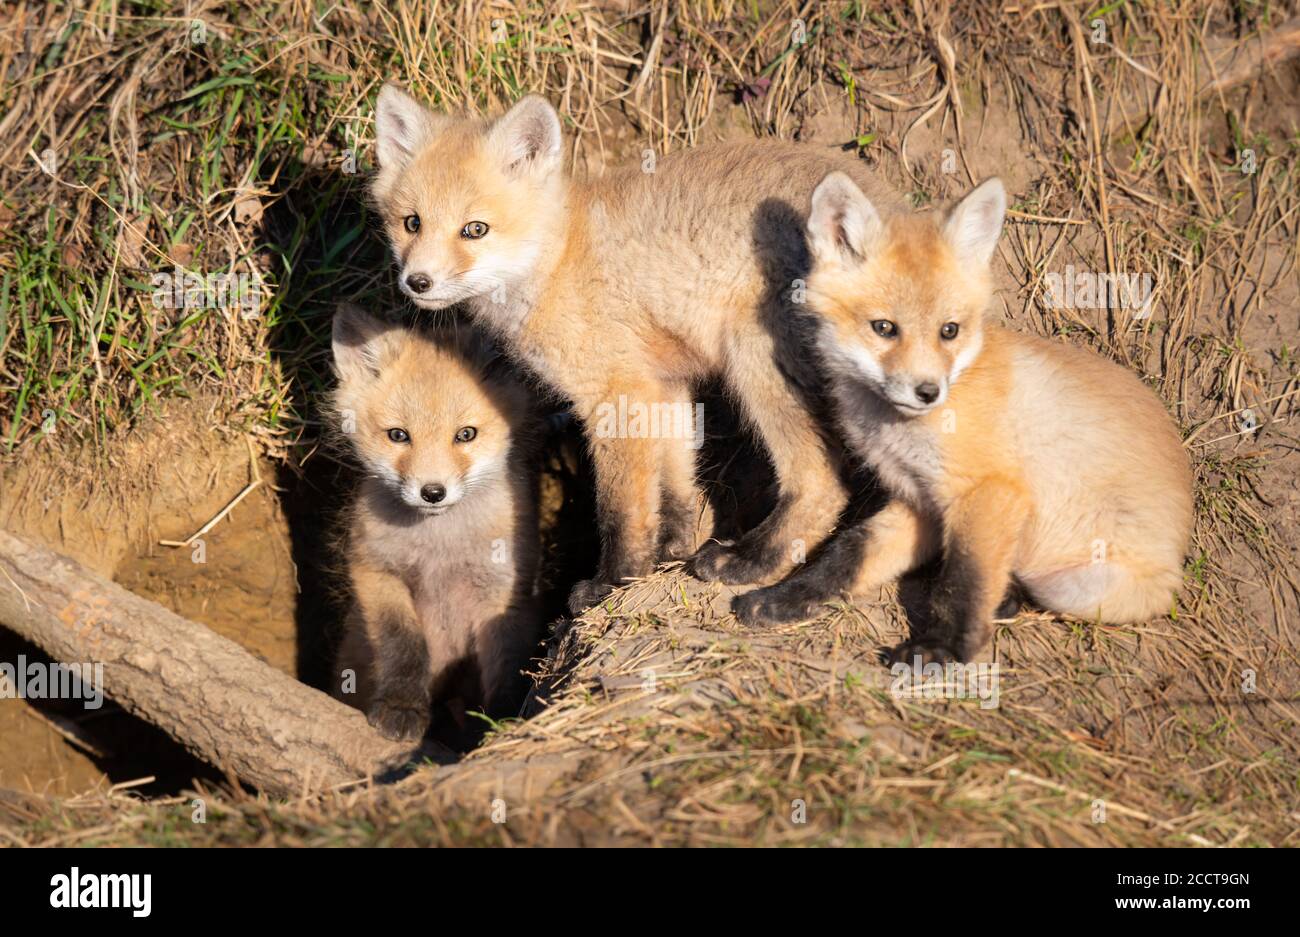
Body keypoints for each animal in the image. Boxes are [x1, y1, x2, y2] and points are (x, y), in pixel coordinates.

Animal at [329, 303, 542, 740]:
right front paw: (401, 705)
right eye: (398, 435)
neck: (440, 550)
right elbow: (403, 644)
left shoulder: (503, 593)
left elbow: (506, 662)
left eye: (466, 434)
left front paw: (499, 720)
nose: (432, 492)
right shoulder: (376, 571)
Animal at [369, 85, 879, 612]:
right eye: (411, 223)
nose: (417, 282)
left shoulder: (615, 392)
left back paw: (749, 562)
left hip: (756, 362)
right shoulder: (662, 382)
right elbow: (673, 483)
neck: (557, 262)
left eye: (474, 229)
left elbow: (621, 507)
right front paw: (671, 550)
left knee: (822, 481)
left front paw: (615, 581)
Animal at [734, 172, 1194, 664]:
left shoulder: (988, 492)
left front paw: (942, 649)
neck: (903, 432)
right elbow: (848, 554)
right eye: (884, 328)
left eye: (949, 331)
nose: (928, 392)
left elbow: (962, 583)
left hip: (1080, 586)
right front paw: (782, 599)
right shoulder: (921, 502)